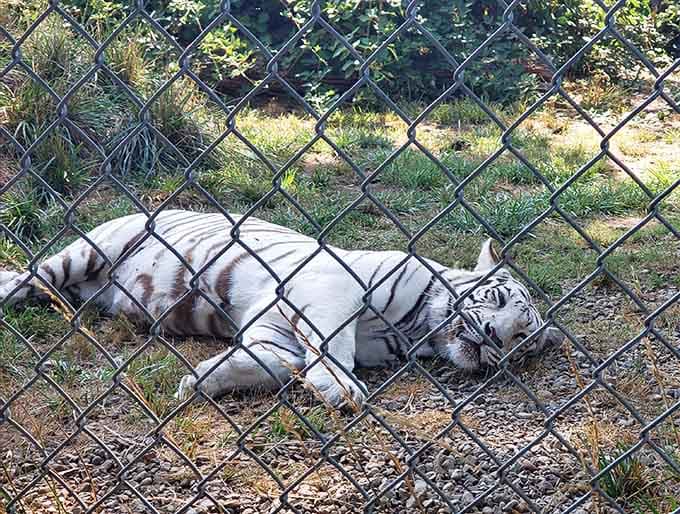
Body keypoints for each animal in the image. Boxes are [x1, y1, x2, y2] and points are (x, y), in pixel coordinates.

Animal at [0, 210, 563, 407]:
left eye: (520, 339)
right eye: (497, 301)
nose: (492, 336)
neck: (414, 332)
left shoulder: (276, 330)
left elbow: (272, 361)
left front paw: (201, 380)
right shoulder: (331, 285)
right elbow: (335, 347)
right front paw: (340, 388)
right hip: (92, 248)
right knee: (31, 275)